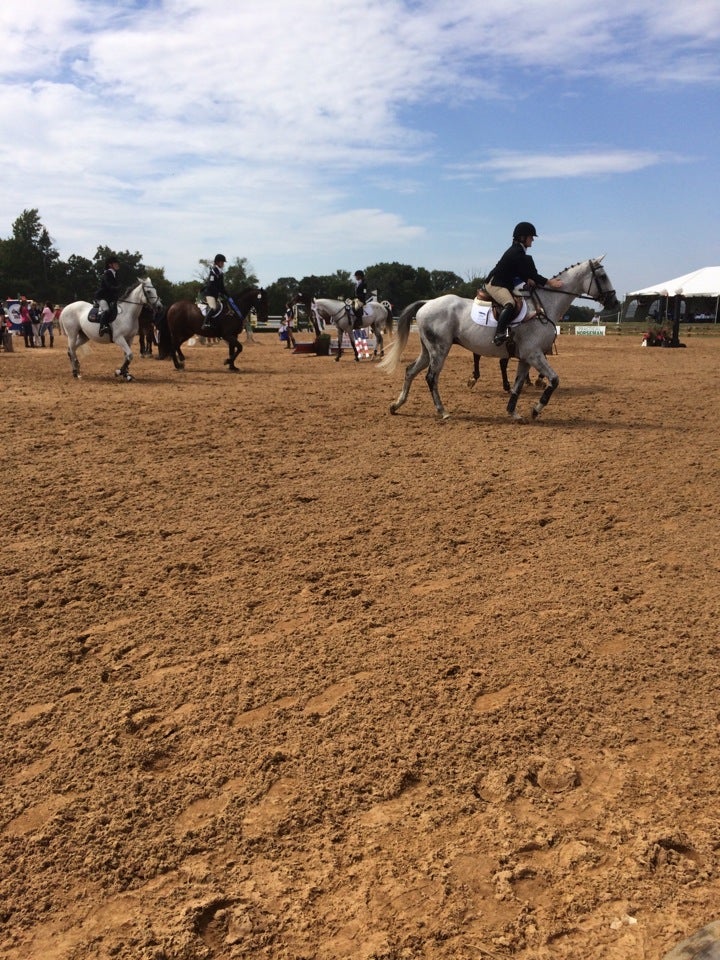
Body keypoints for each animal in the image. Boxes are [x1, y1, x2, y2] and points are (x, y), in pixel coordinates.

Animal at [379, 257, 619, 421]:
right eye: (603, 277)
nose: (614, 302)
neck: (544, 305)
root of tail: (427, 303)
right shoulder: (535, 355)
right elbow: (554, 380)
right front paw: (535, 409)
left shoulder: (526, 358)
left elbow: (518, 385)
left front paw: (513, 412)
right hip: (440, 349)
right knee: (431, 377)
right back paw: (442, 411)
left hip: (427, 350)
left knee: (410, 371)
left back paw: (396, 405)